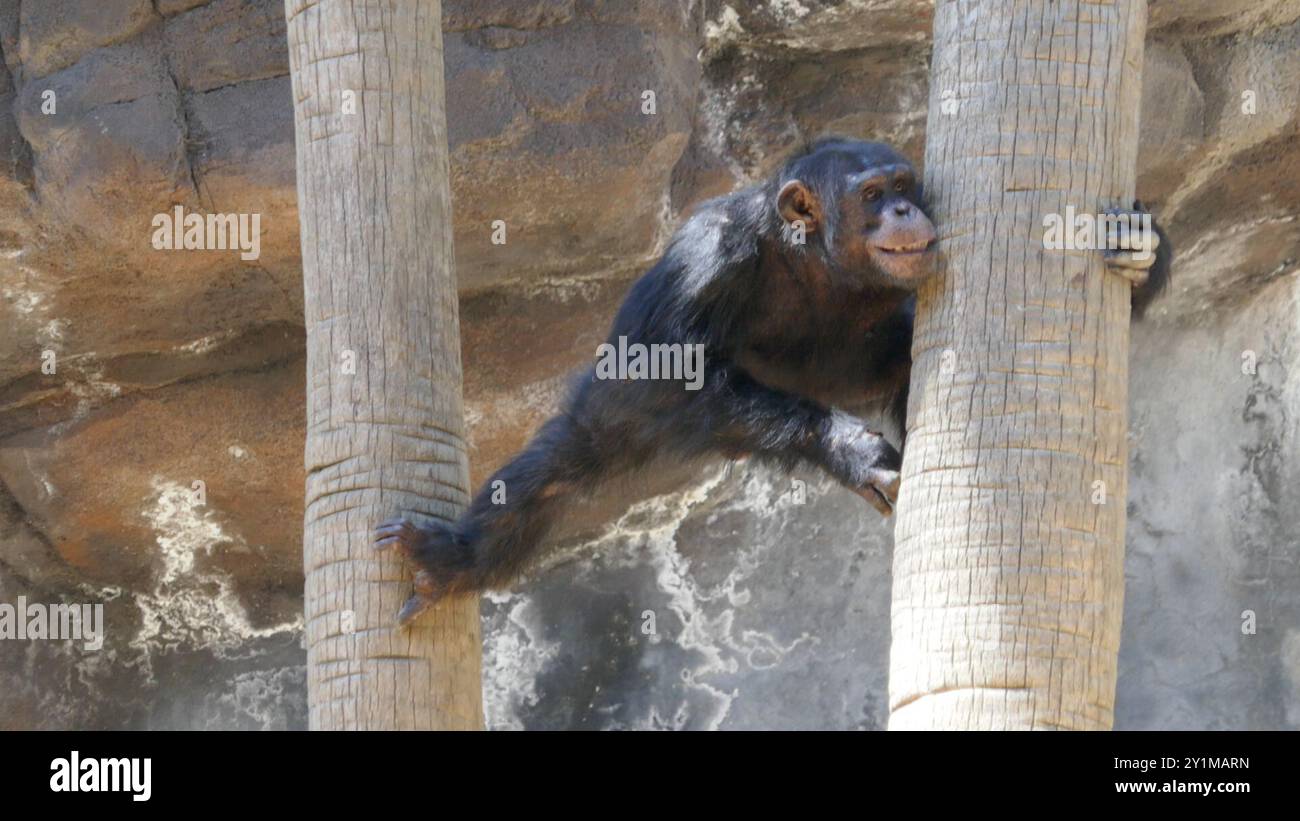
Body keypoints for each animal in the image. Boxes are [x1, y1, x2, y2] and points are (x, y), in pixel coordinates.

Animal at [375, 137, 1171, 625]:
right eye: (873, 193)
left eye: (905, 185)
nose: (906, 207)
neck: (812, 258)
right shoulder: (709, 252)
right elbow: (654, 366)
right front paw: (850, 449)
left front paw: (1138, 250)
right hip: (618, 425)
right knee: (556, 472)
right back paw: (454, 560)